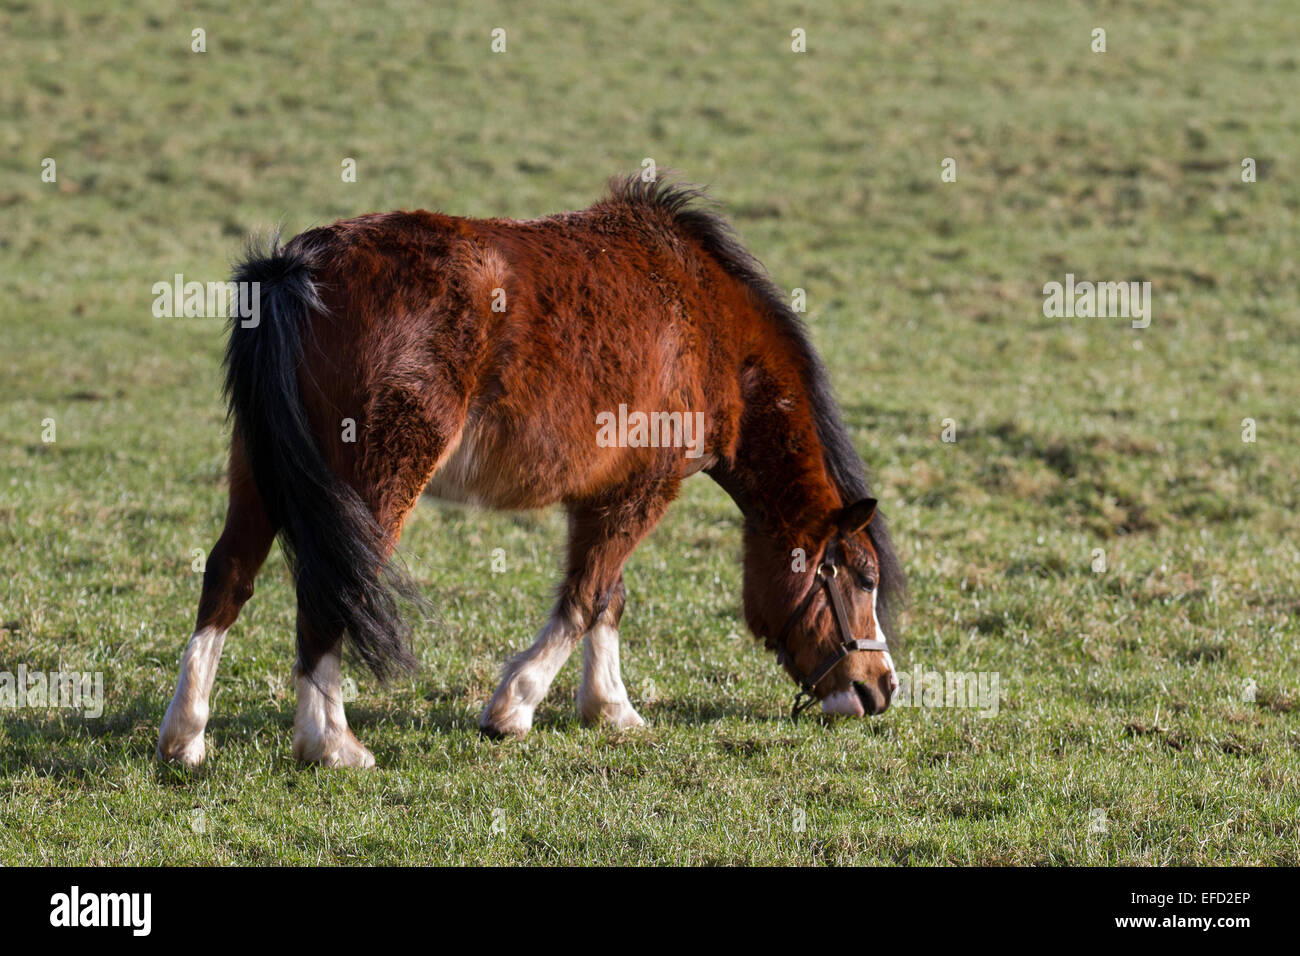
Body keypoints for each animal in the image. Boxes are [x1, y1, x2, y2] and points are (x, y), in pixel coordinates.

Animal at [157, 174, 904, 767]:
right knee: (327, 593)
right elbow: (583, 597)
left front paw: (609, 707)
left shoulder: (607, 491)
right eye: (862, 579)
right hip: (373, 483)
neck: (707, 323)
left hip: (261, 471)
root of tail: (297, 267)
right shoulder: (644, 490)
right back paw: (330, 745)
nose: (882, 687)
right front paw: (514, 707)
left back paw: (185, 736)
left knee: (229, 574)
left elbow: (607, 598)